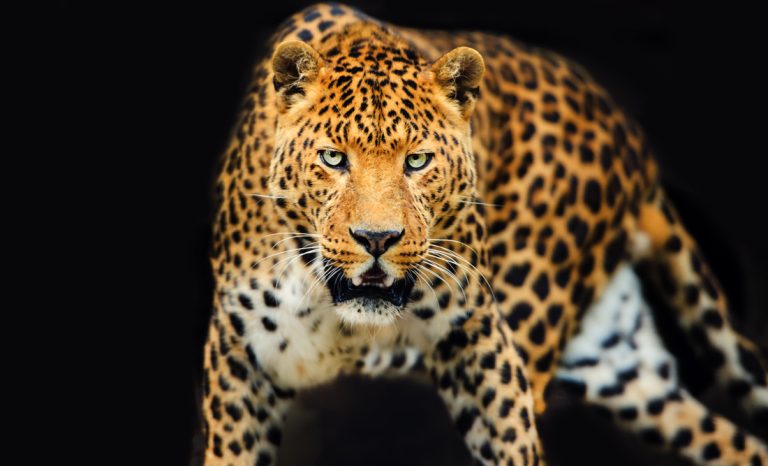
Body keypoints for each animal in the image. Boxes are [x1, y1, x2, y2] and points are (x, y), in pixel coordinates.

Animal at [201, 3, 768, 465]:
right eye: (333, 158)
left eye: (418, 161)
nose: (377, 239)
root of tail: (632, 138)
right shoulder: (238, 357)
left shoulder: (480, 336)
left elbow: (512, 441)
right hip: (621, 365)